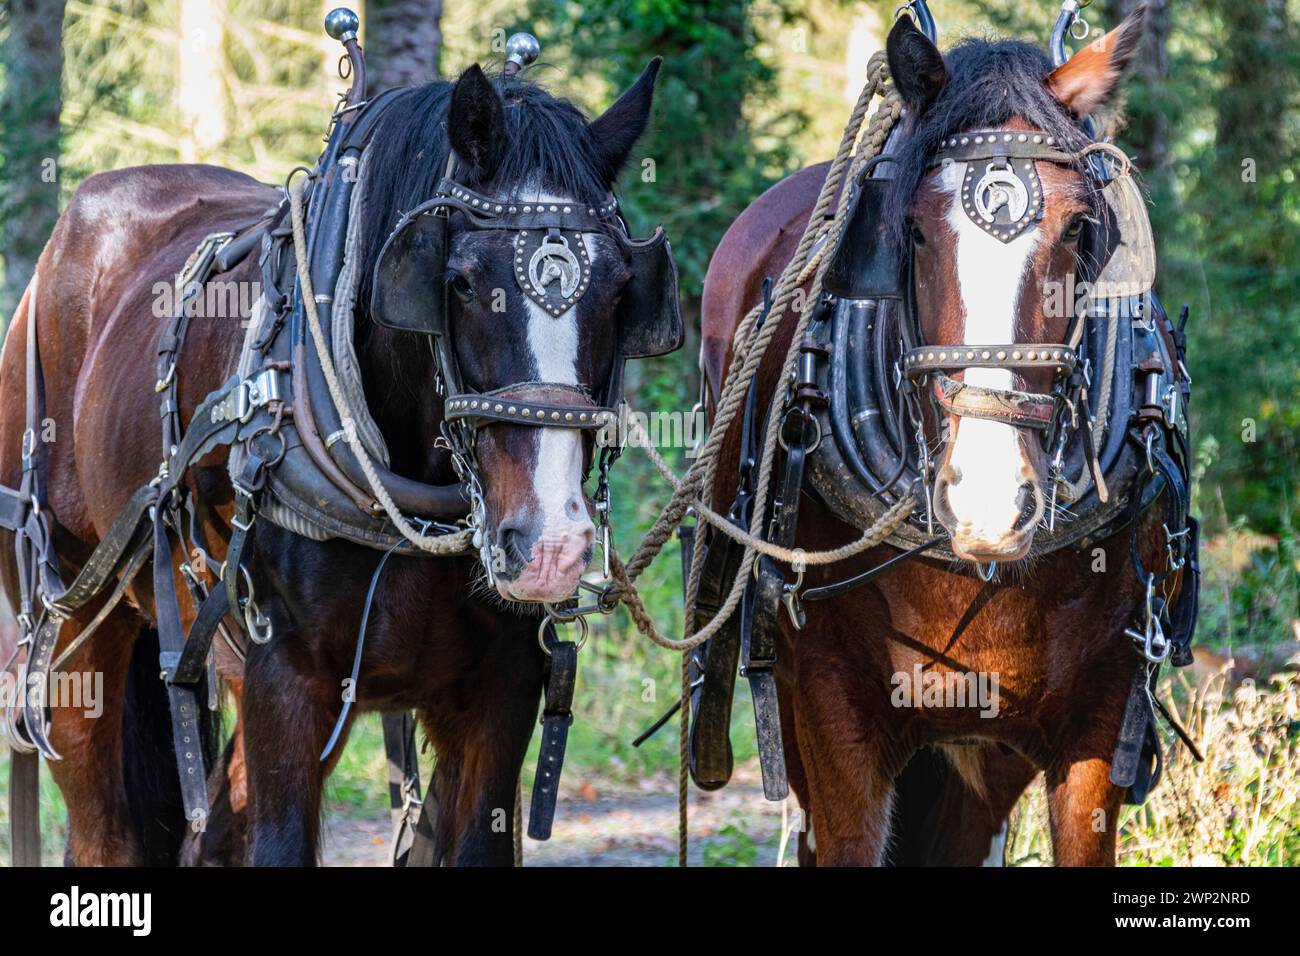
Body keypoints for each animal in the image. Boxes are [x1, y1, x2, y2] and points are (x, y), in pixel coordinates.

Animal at [0, 56, 665, 866]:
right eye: (461, 281)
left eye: (622, 289)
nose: (549, 547)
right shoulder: (282, 680)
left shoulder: (502, 689)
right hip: (72, 627)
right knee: (106, 830)